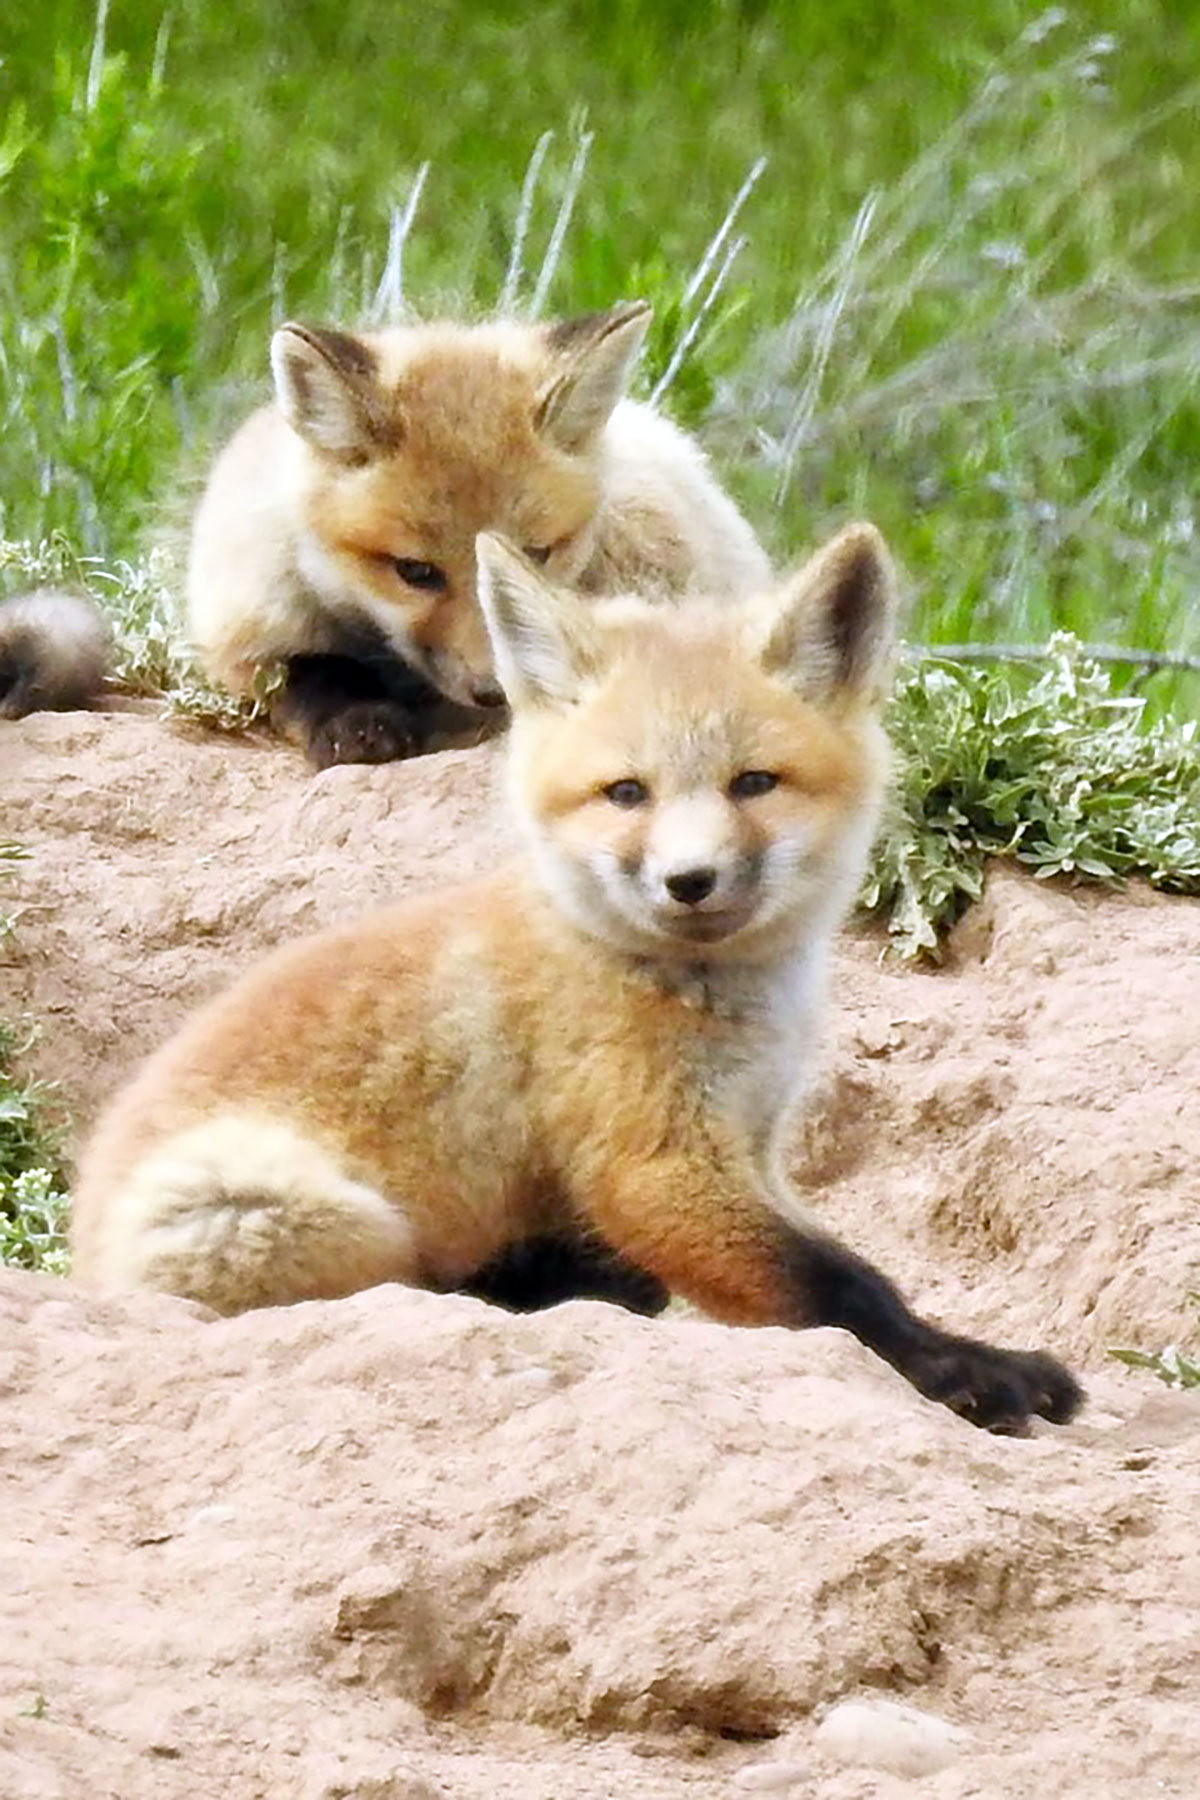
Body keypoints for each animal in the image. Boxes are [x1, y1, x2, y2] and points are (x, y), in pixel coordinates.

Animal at [70, 523, 1083, 1434]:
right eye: (626, 793)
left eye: (754, 783)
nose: (688, 881)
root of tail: (82, 1252)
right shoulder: (656, 1166)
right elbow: (839, 1286)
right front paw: (966, 1369)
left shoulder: (752, 1148)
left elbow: (829, 1262)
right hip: (296, 1208)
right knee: (409, 1289)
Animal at [186, 299, 771, 768]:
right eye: (414, 571)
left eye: (535, 553)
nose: (496, 691)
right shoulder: (243, 619)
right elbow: (308, 674)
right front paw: (356, 722)